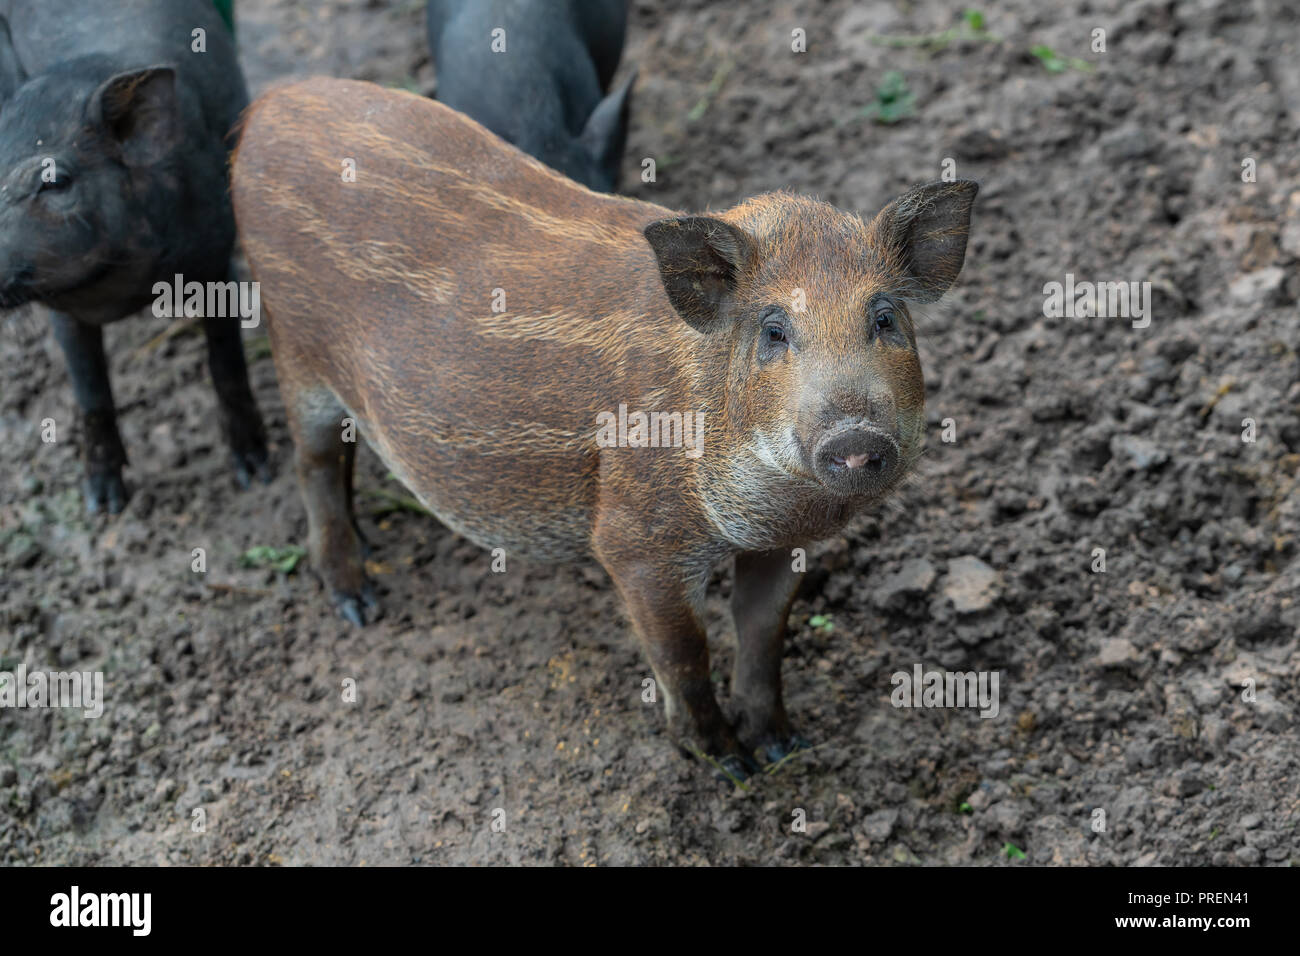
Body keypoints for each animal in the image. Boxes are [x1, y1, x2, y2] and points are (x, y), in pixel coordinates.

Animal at [0, 0, 267, 513]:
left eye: (55, 181)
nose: (103, 506)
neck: (118, 290)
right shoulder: (61, 306)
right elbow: (90, 391)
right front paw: (104, 506)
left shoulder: (213, 258)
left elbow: (226, 364)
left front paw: (254, 472)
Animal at [231, 78, 976, 778]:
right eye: (773, 331)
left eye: (884, 318)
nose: (856, 437)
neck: (778, 505)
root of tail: (269, 103)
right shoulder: (633, 542)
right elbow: (683, 655)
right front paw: (726, 764)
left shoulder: (786, 544)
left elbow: (764, 636)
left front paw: (785, 746)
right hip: (294, 351)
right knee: (312, 464)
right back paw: (360, 603)